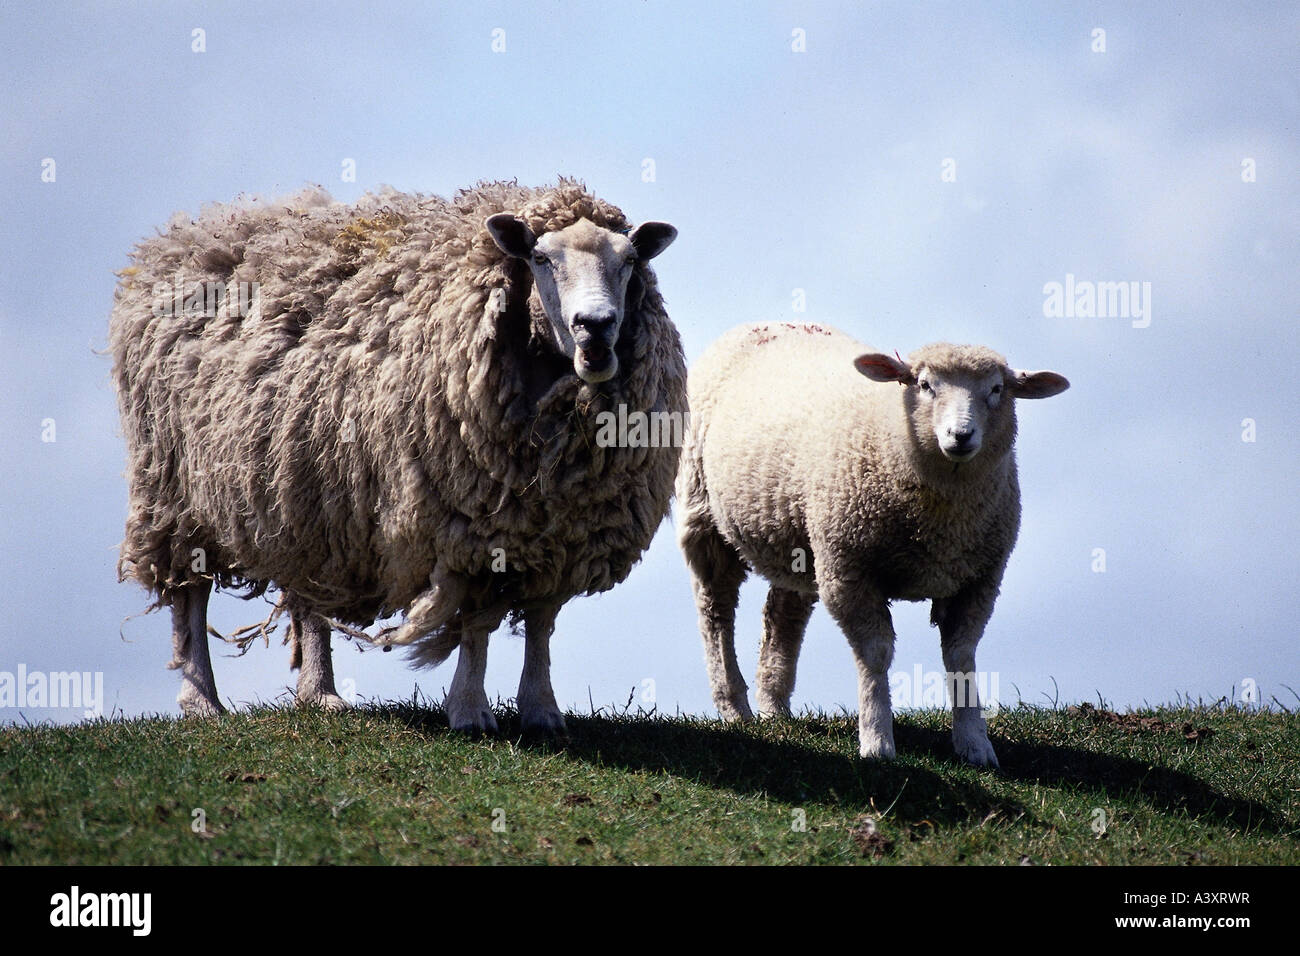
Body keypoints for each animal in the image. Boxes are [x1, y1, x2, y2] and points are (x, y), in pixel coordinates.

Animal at [109, 178, 685, 733]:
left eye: (629, 261)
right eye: (541, 259)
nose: (597, 326)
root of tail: (183, 237)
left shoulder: (563, 536)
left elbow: (541, 623)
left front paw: (542, 711)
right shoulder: (469, 531)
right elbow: (477, 623)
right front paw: (469, 711)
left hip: (308, 496)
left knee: (311, 591)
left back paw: (319, 693)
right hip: (173, 488)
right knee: (190, 590)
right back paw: (201, 700)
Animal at [676, 322, 1068, 766]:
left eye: (997, 389)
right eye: (924, 384)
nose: (961, 435)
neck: (942, 521)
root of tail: (767, 322)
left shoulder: (980, 580)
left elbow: (961, 655)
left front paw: (975, 744)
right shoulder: (850, 571)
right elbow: (875, 654)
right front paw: (877, 740)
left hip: (804, 538)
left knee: (783, 615)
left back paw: (775, 706)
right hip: (704, 513)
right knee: (716, 612)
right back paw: (734, 705)